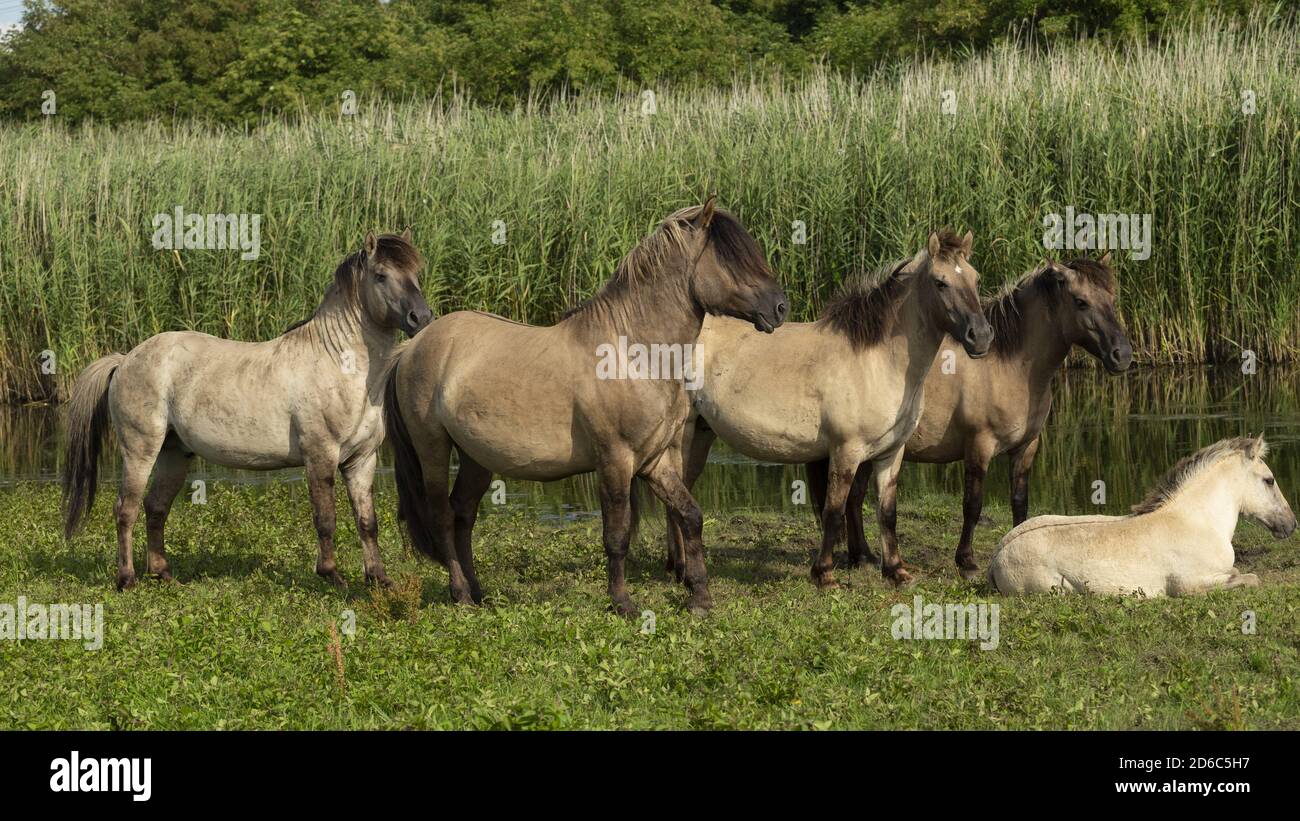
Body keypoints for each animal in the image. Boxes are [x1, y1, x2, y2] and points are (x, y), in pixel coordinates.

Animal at [62, 231, 432, 591]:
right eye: (381, 275)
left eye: (416, 273)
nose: (422, 318)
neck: (338, 365)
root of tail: (125, 359)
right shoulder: (320, 456)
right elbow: (326, 519)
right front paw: (332, 576)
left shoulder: (361, 461)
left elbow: (368, 522)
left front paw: (379, 579)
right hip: (140, 450)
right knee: (126, 510)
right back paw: (126, 579)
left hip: (174, 453)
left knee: (156, 507)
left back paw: (163, 574)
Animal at [383, 198, 787, 615]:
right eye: (732, 260)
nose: (779, 308)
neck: (633, 354)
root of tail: (410, 348)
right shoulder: (614, 460)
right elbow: (617, 534)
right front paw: (623, 603)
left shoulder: (656, 460)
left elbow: (689, 515)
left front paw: (700, 598)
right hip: (432, 448)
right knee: (443, 517)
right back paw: (461, 594)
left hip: (476, 457)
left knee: (463, 515)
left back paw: (478, 593)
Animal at [666, 230, 993, 589]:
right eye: (940, 282)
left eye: (976, 278)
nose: (980, 336)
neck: (878, 361)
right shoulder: (845, 451)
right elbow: (834, 511)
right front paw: (825, 574)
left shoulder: (891, 453)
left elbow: (888, 513)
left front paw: (896, 571)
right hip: (683, 435)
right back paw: (683, 570)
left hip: (701, 433)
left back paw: (676, 568)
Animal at [825, 252, 1133, 580]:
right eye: (1080, 302)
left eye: (1111, 298)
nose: (1122, 355)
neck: (1007, 366)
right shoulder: (979, 445)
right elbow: (972, 505)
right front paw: (967, 561)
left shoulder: (1026, 447)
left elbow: (1020, 503)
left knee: (854, 498)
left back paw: (863, 556)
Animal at [988, 435, 1296, 596]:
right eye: (1269, 480)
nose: (1292, 524)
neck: (1198, 522)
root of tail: (996, 556)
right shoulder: (1189, 586)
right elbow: (1248, 577)